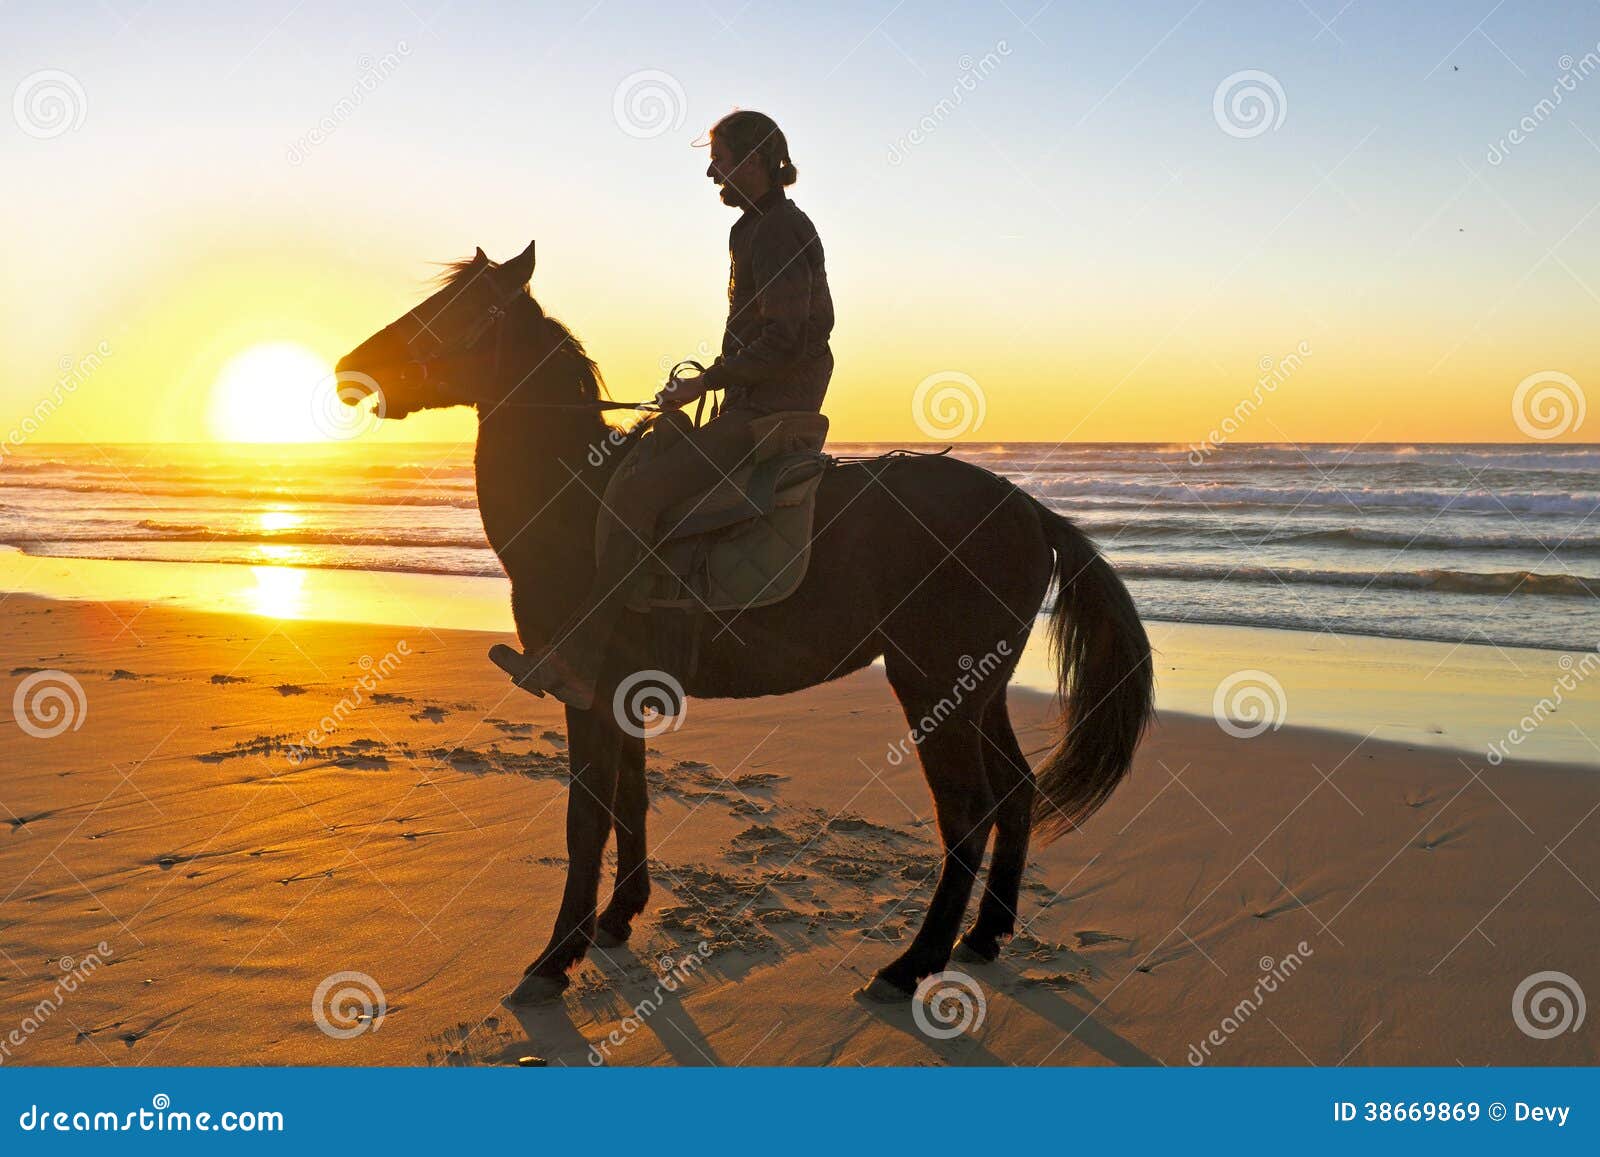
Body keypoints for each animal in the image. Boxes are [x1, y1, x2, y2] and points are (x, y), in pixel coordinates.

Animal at [335, 240, 1154, 1004]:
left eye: (454, 314)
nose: (351, 368)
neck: (575, 498)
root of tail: (1029, 509)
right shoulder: (622, 694)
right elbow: (630, 801)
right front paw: (618, 918)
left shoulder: (587, 694)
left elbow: (586, 819)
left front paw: (554, 959)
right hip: (977, 692)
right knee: (1014, 793)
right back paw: (983, 936)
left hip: (932, 688)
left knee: (967, 815)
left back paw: (912, 963)